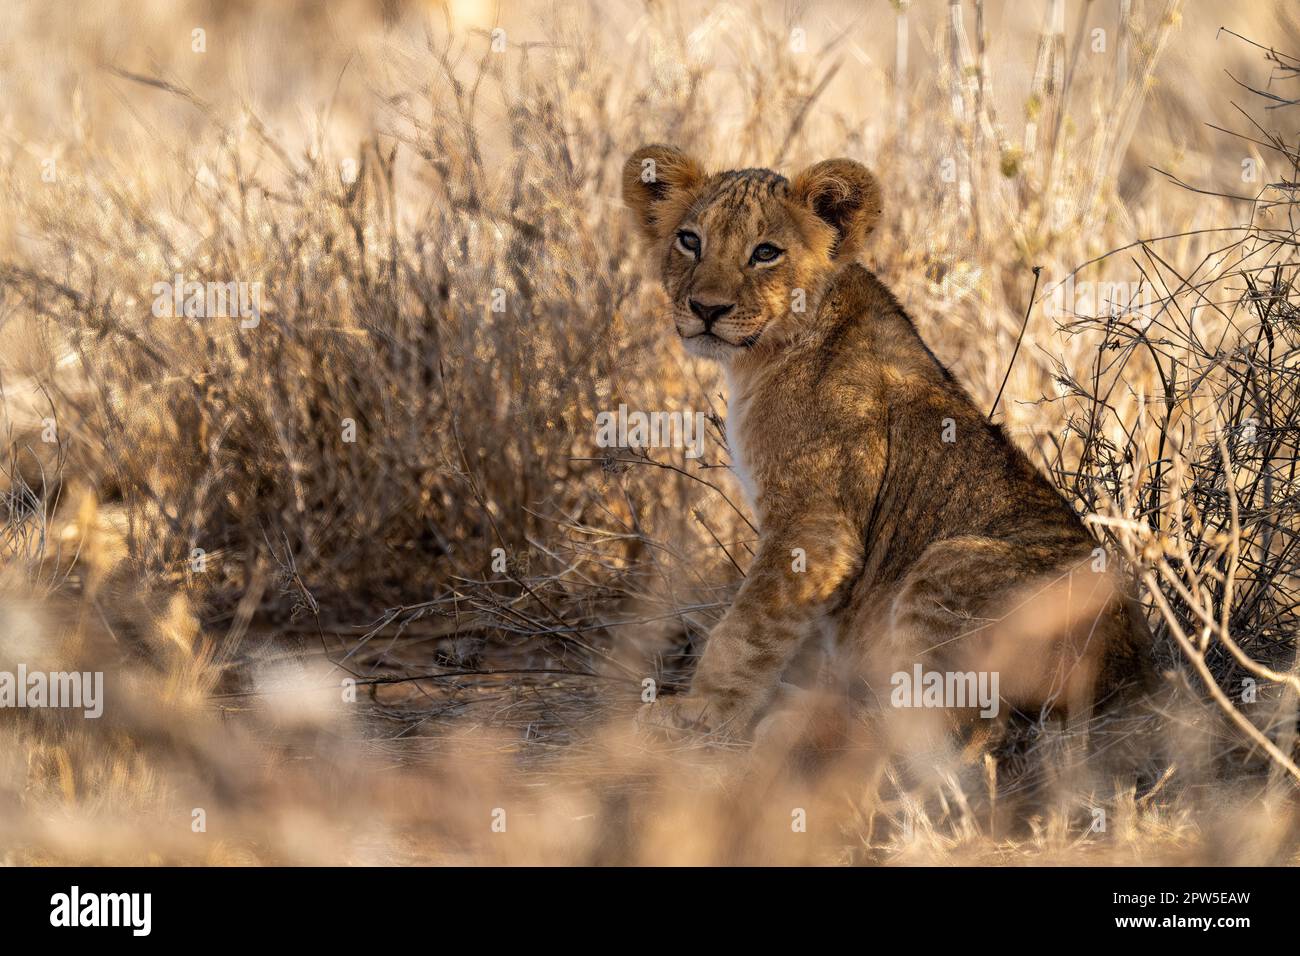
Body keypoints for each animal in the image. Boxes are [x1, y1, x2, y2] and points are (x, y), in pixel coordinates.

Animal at [622, 144, 1159, 760]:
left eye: (765, 253)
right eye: (690, 240)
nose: (705, 308)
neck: (762, 357)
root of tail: (1136, 683)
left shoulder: (816, 529)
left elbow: (745, 629)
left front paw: (699, 710)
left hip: (951, 561)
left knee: (955, 730)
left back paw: (799, 725)